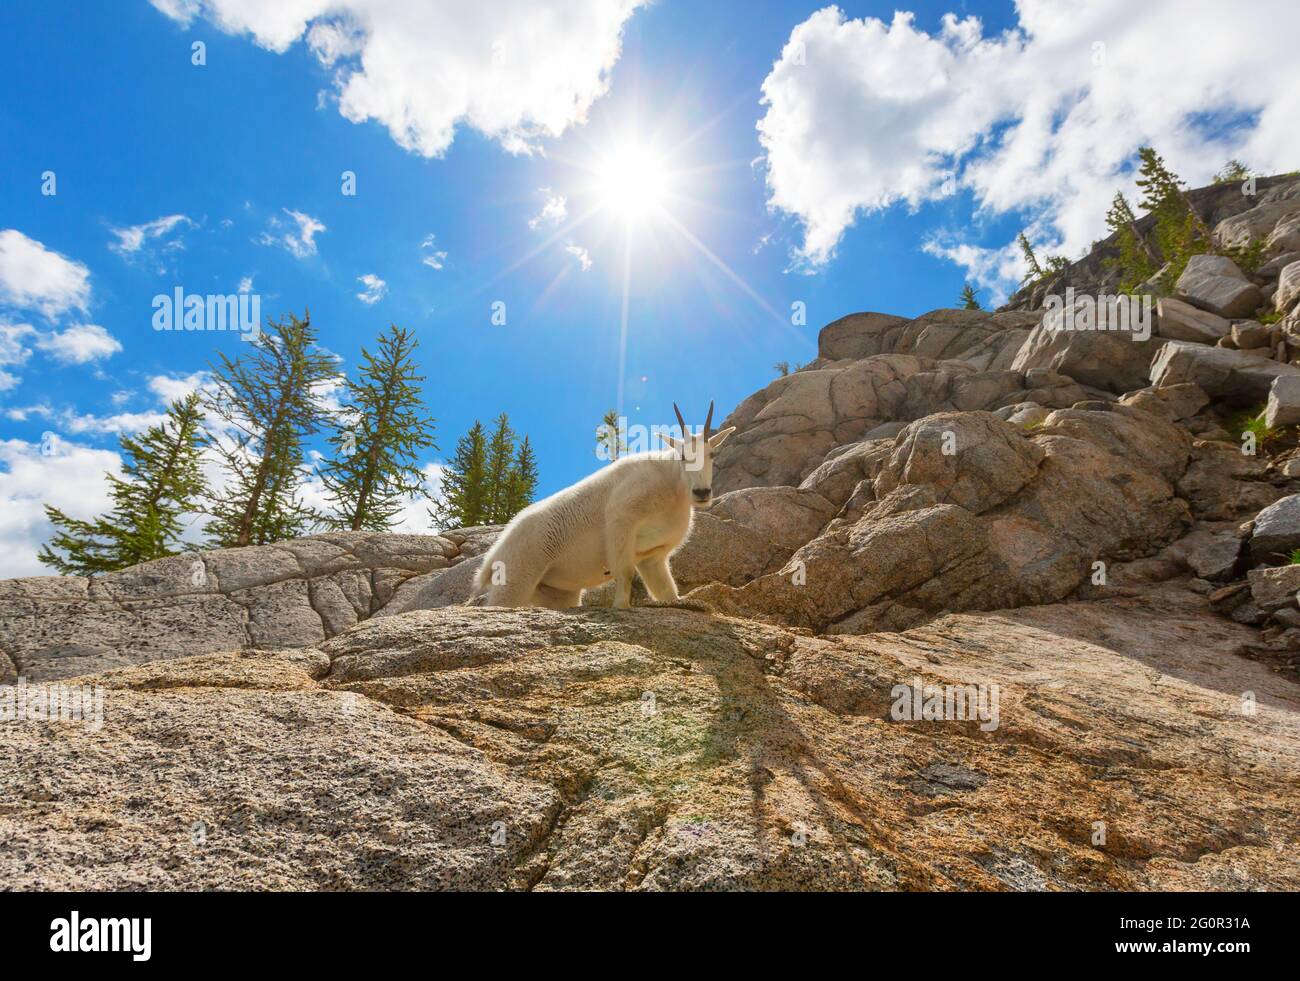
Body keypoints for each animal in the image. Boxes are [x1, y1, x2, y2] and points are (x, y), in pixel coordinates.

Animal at [470, 402, 735, 609]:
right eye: (682, 456)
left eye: (712, 454)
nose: (702, 492)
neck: (671, 483)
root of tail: (491, 557)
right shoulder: (621, 516)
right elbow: (624, 570)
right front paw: (621, 606)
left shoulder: (654, 556)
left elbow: (666, 590)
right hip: (517, 576)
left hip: (556, 592)